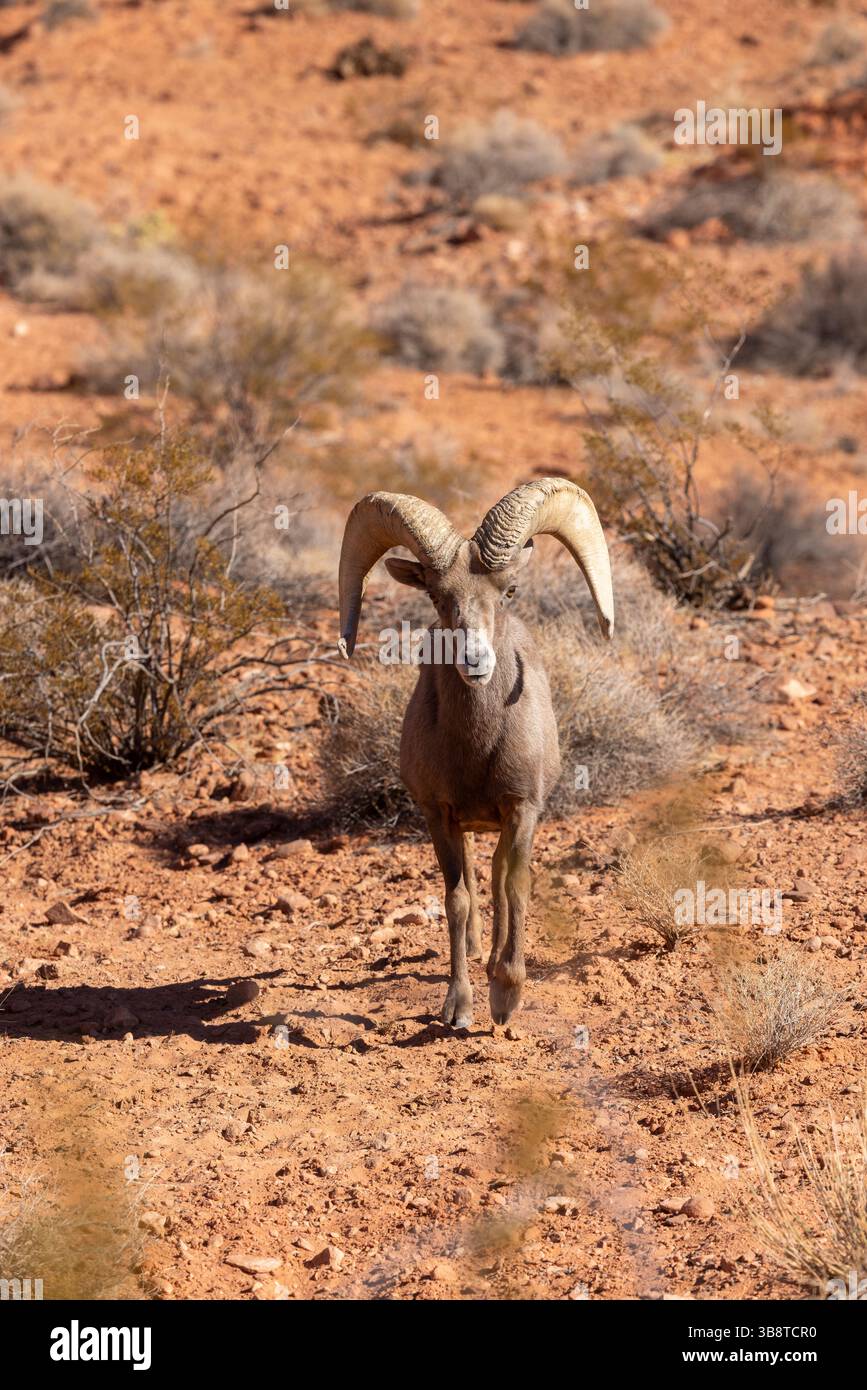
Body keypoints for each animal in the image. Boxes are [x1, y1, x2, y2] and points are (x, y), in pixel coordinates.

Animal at [338, 478, 614, 1028]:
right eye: (436, 596)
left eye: (508, 591)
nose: (474, 660)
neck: (477, 746)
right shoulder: (439, 817)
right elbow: (458, 900)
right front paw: (459, 1008)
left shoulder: (522, 810)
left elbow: (516, 886)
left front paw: (505, 995)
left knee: (501, 876)